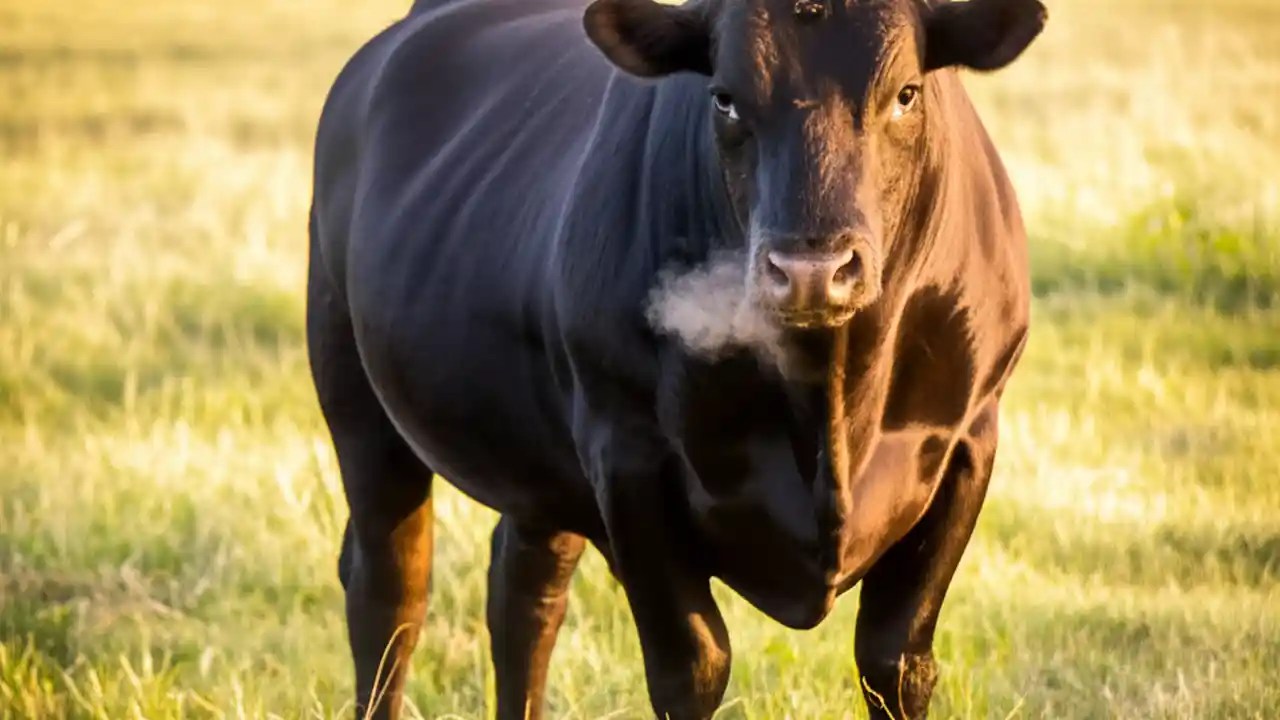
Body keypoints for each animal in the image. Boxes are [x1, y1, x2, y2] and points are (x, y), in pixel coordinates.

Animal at [307, 0, 1044, 716]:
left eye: (907, 93)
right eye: (724, 98)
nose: (812, 271)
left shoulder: (969, 439)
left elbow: (896, 663)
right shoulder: (627, 455)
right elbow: (692, 667)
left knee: (524, 592)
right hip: (354, 394)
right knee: (390, 589)